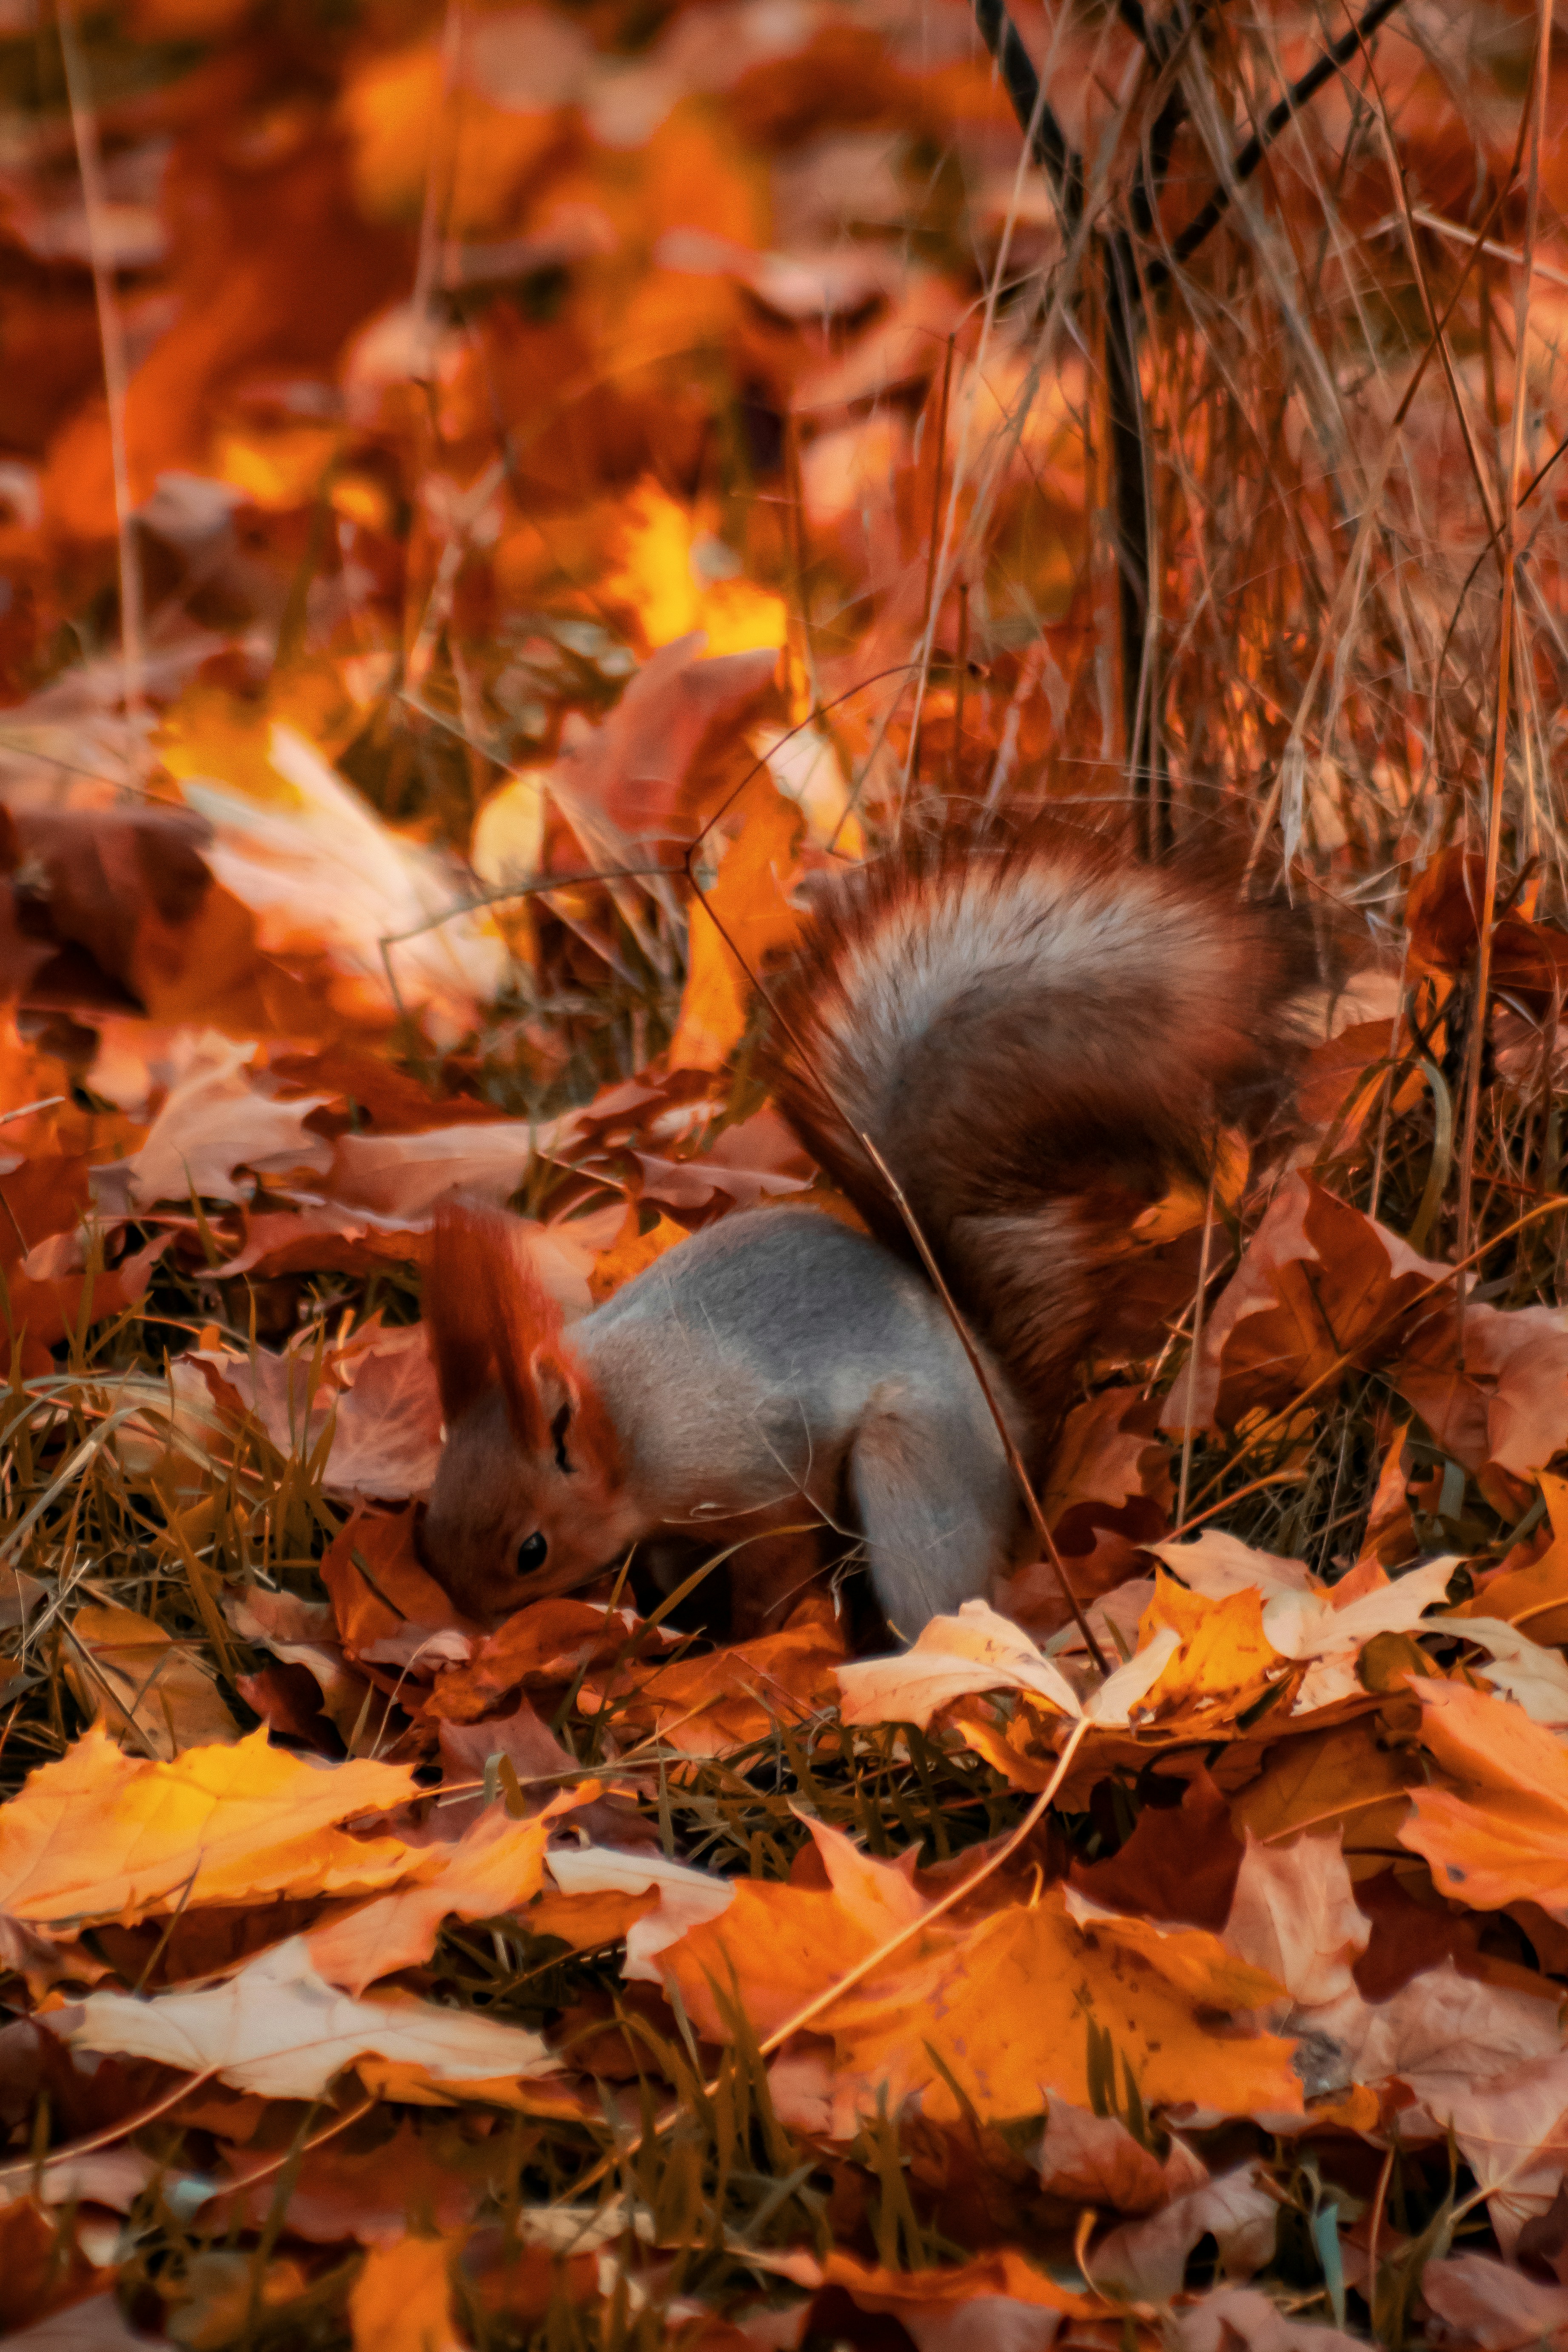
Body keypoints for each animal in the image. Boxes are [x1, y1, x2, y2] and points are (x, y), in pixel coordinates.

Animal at [420, 822, 1321, 1635]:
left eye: (530, 1549)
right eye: (431, 1521)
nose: (471, 1626)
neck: (625, 1420)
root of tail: (1012, 1420)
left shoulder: (760, 1475)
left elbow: (776, 1560)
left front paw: (753, 1637)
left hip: (907, 1473)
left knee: (944, 1598)